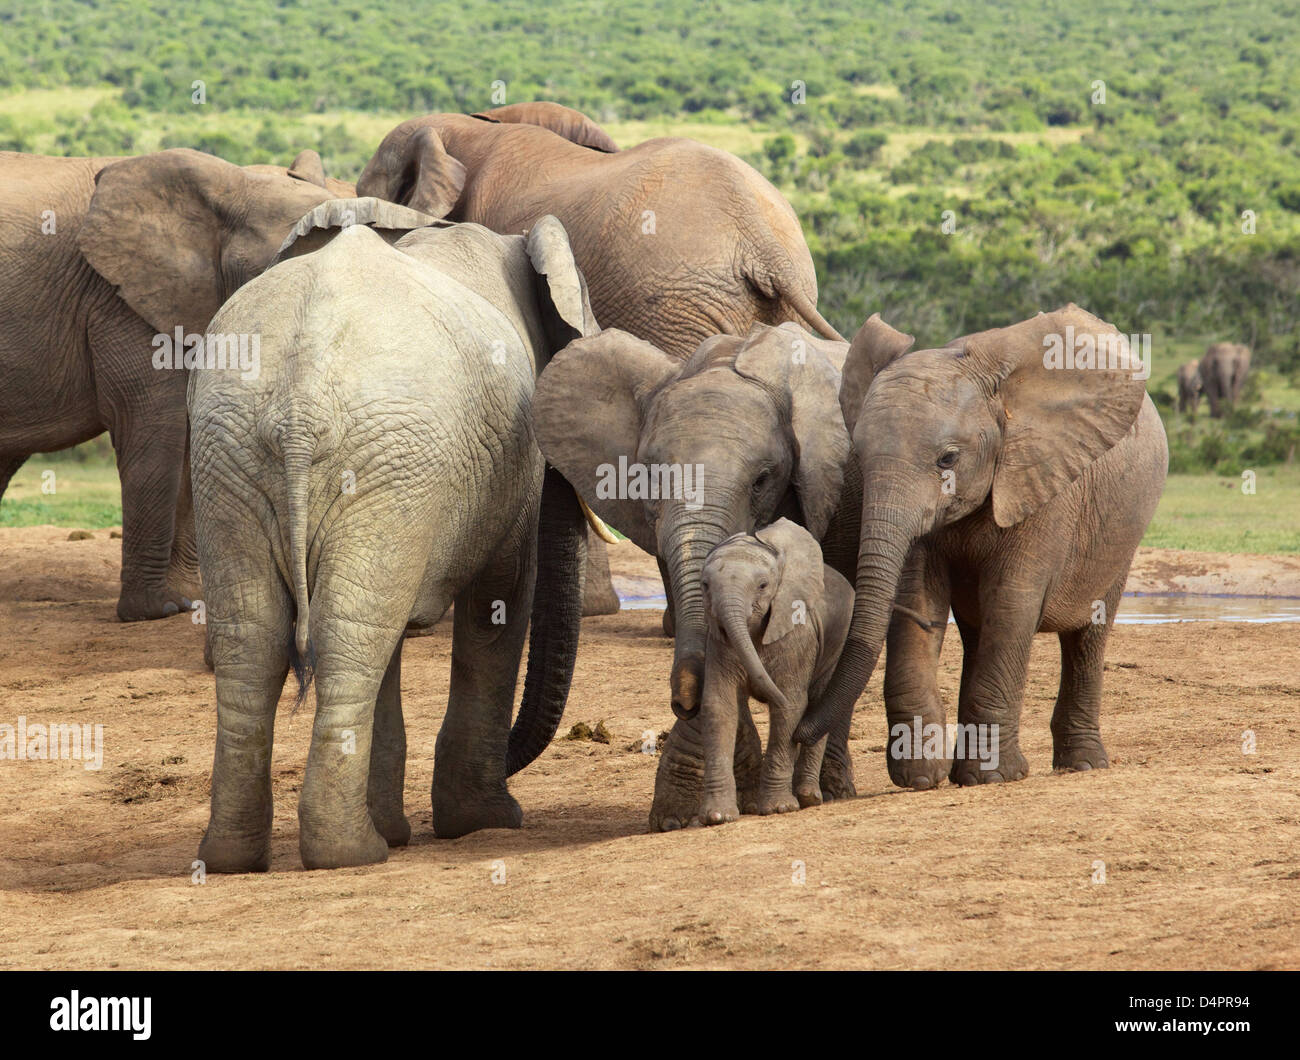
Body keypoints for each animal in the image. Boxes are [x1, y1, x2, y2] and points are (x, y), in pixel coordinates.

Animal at [0, 147, 351, 620]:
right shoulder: (119, 300)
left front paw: (189, 601)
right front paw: (154, 610)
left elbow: (189, 436)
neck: (236, 183)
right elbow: (157, 430)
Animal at [191, 203, 596, 872]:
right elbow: (500, 600)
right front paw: (484, 823)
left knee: (272, 637)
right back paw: (350, 853)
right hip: (371, 460)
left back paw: (236, 857)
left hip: (236, 457)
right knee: (349, 635)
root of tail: (299, 408)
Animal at [697, 520, 853, 825]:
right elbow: (719, 706)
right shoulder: (717, 640)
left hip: (838, 639)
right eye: (705, 586)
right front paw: (718, 816)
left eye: (762, 586)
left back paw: (808, 797)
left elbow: (790, 706)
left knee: (820, 700)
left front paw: (779, 809)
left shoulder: (797, 635)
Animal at [794, 305, 1168, 790]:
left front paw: (994, 777)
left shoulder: (1043, 484)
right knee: (976, 633)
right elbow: (919, 597)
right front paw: (921, 777)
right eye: (857, 455)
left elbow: (1010, 605)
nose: (799, 730)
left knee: (1088, 635)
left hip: (1122, 533)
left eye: (948, 459)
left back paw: (1083, 765)